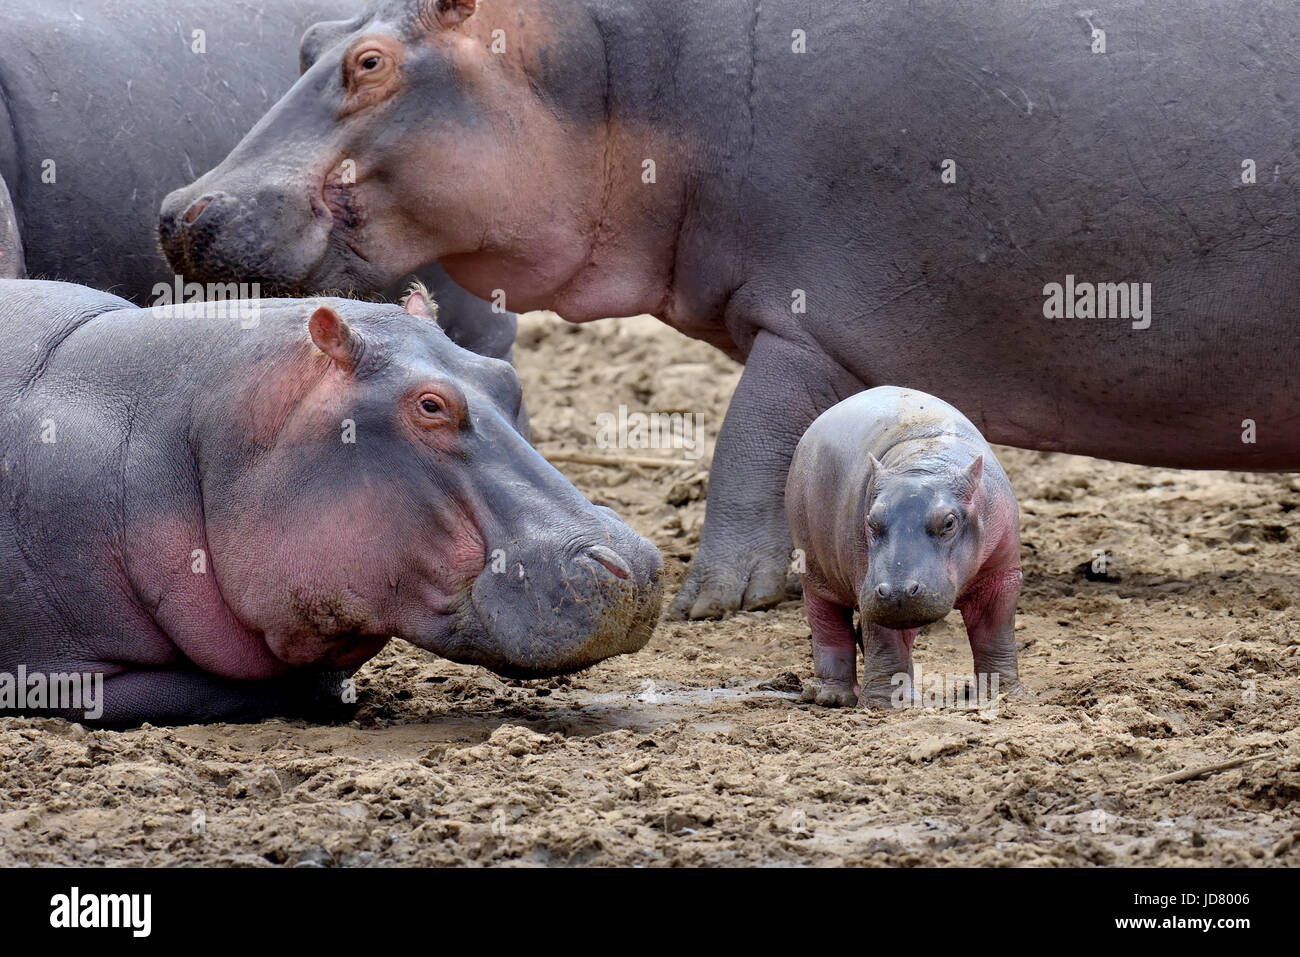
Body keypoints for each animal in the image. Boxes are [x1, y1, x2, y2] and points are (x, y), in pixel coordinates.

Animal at [158, 0, 1300, 623]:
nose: (180, 210)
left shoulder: (810, 317)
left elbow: (749, 441)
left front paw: (713, 597)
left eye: (371, 63)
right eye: (308, 36)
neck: (600, 69)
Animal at [786, 388, 1022, 708]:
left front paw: (1002, 694)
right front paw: (881, 706)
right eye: (871, 521)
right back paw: (834, 697)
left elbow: (994, 633)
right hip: (815, 573)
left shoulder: (1000, 573)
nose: (897, 590)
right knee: (828, 626)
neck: (926, 462)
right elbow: (884, 641)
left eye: (949, 522)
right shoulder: (871, 582)